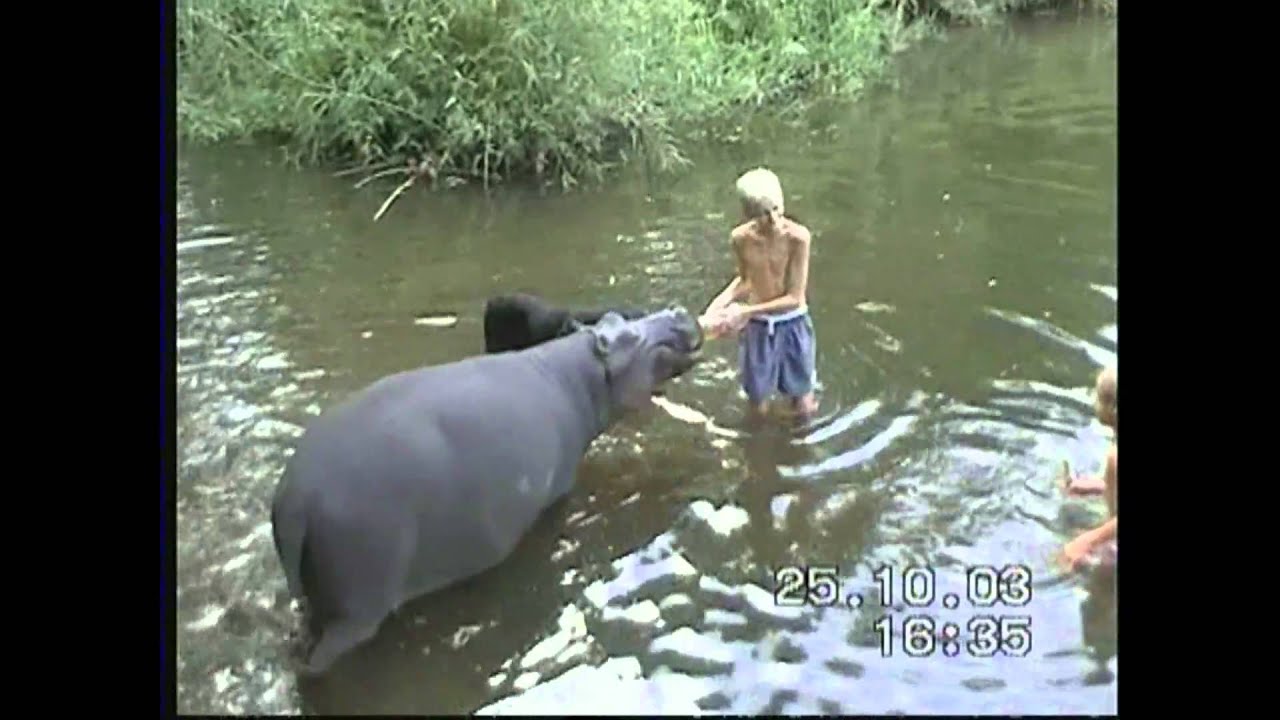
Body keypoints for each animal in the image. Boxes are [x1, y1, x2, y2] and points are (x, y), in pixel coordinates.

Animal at [271, 307, 703, 675]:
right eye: (630, 336)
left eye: (618, 318)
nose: (678, 311)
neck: (581, 376)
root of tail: (295, 497)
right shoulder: (559, 488)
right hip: (360, 604)